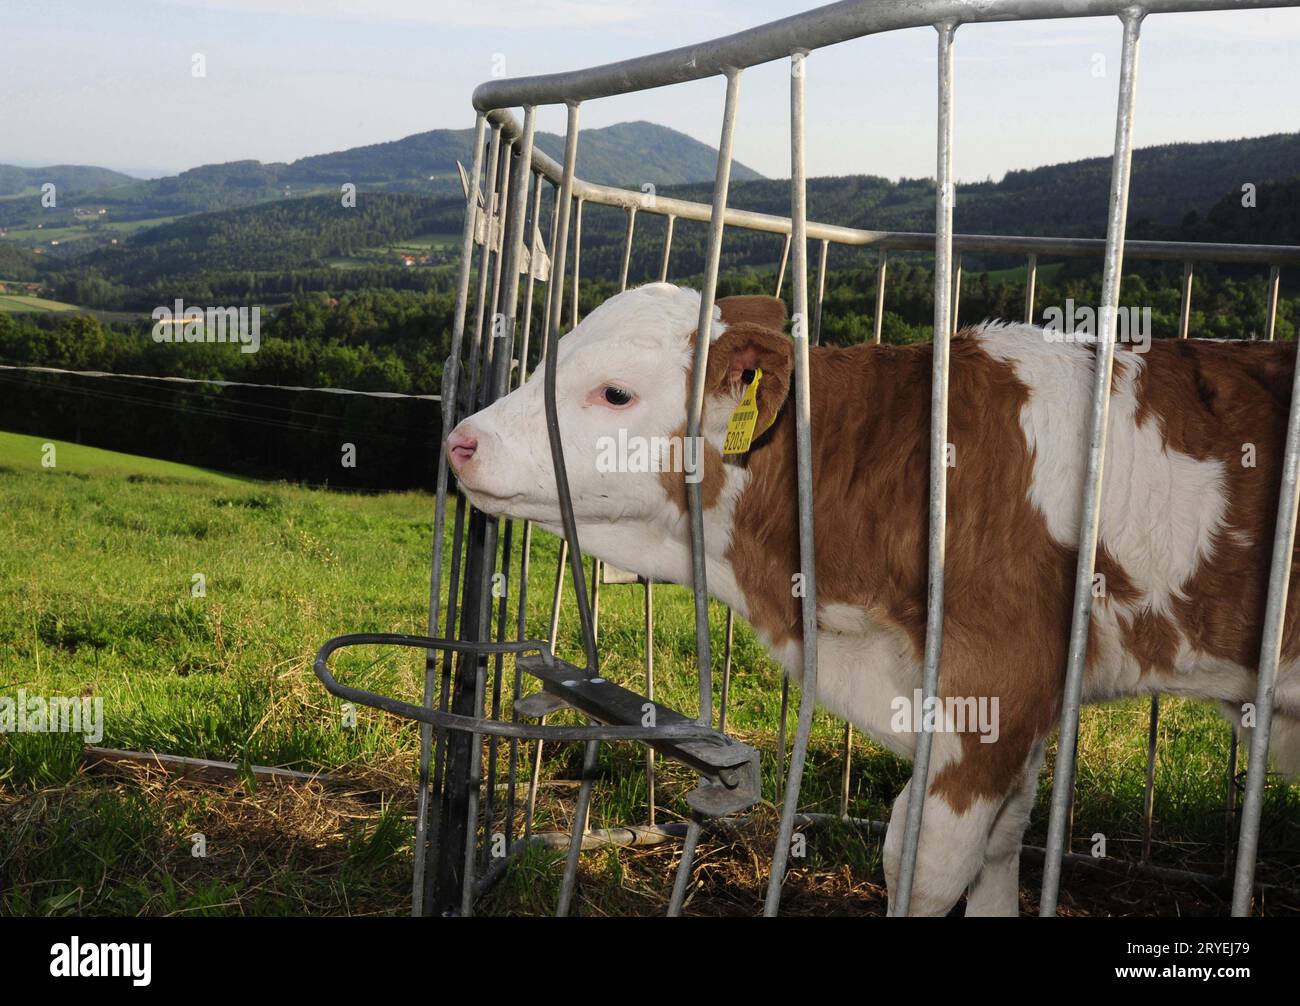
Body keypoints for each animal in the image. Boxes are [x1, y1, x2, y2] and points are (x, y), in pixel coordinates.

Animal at [446, 281, 1300, 916]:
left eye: (615, 393)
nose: (462, 440)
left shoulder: (991, 685)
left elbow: (922, 863)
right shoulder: (1013, 707)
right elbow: (1000, 847)